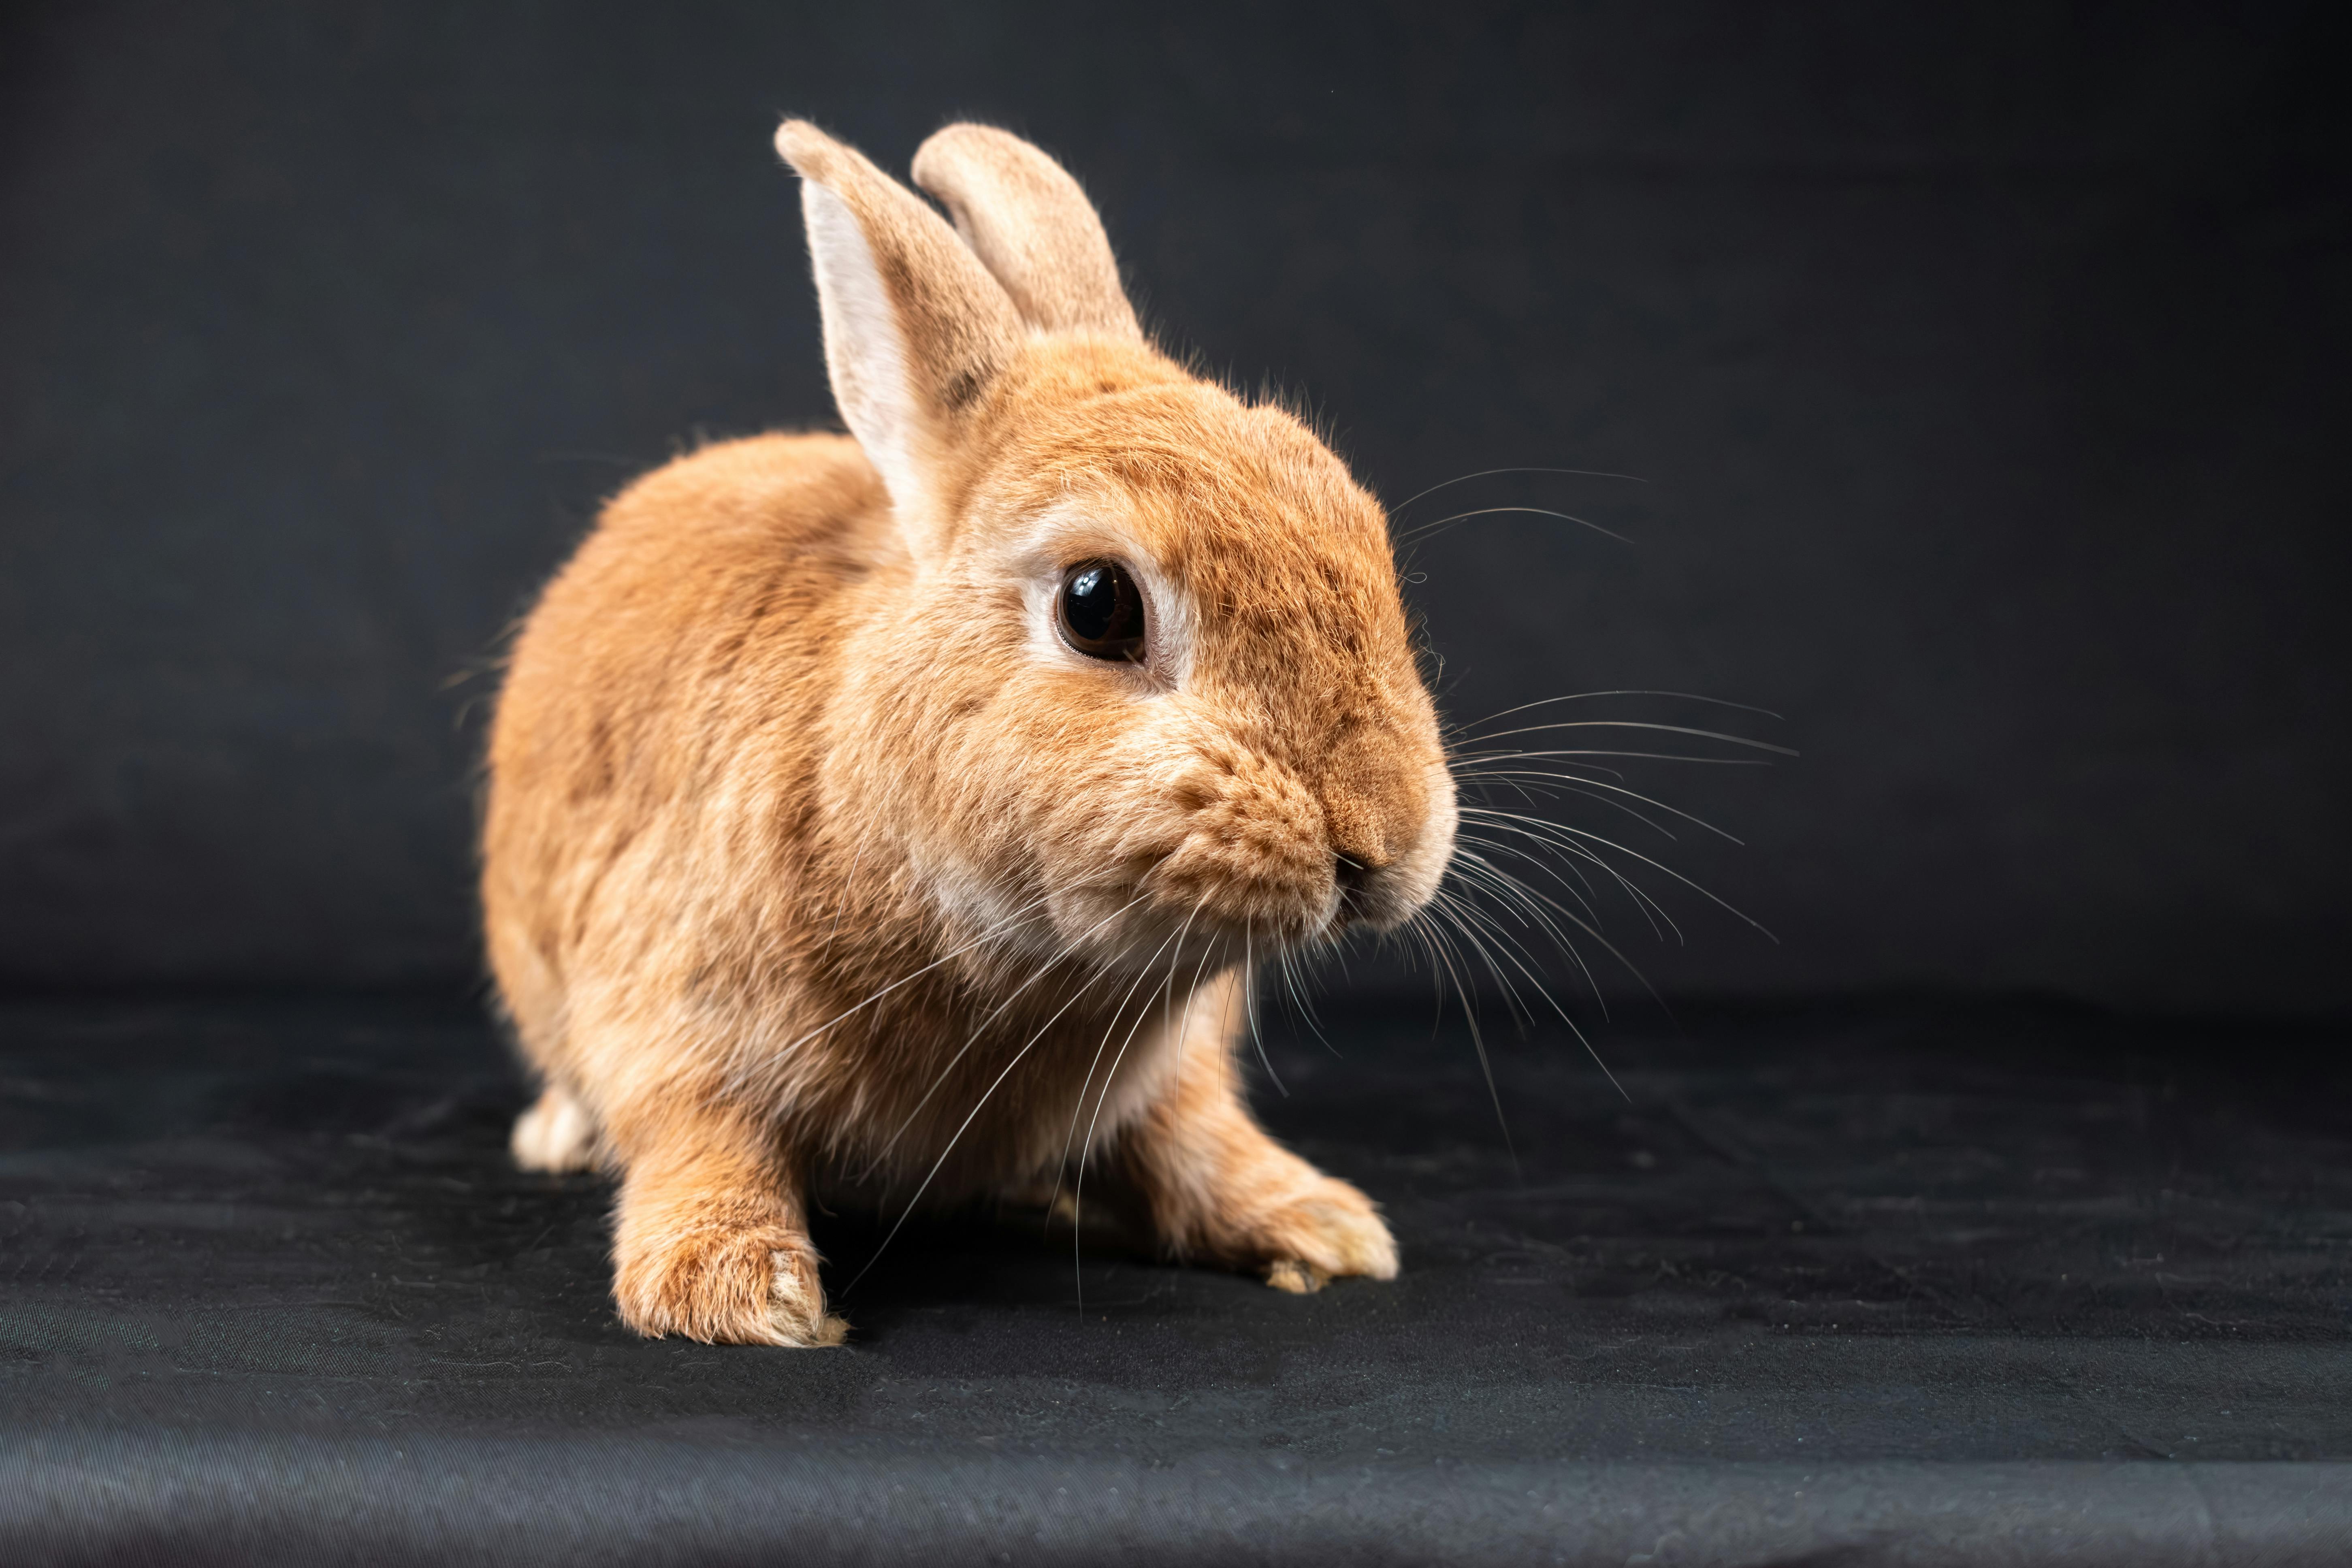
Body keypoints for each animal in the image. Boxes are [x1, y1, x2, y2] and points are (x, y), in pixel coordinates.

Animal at [480, 119, 1457, 1346]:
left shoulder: (1168, 1079)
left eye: (1359, 525)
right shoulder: (668, 1006)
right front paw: (740, 1294)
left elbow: (1190, 1142)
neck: (1033, 972)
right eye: (1096, 604)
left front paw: (1318, 1228)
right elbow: (701, 1133)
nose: (1381, 839)